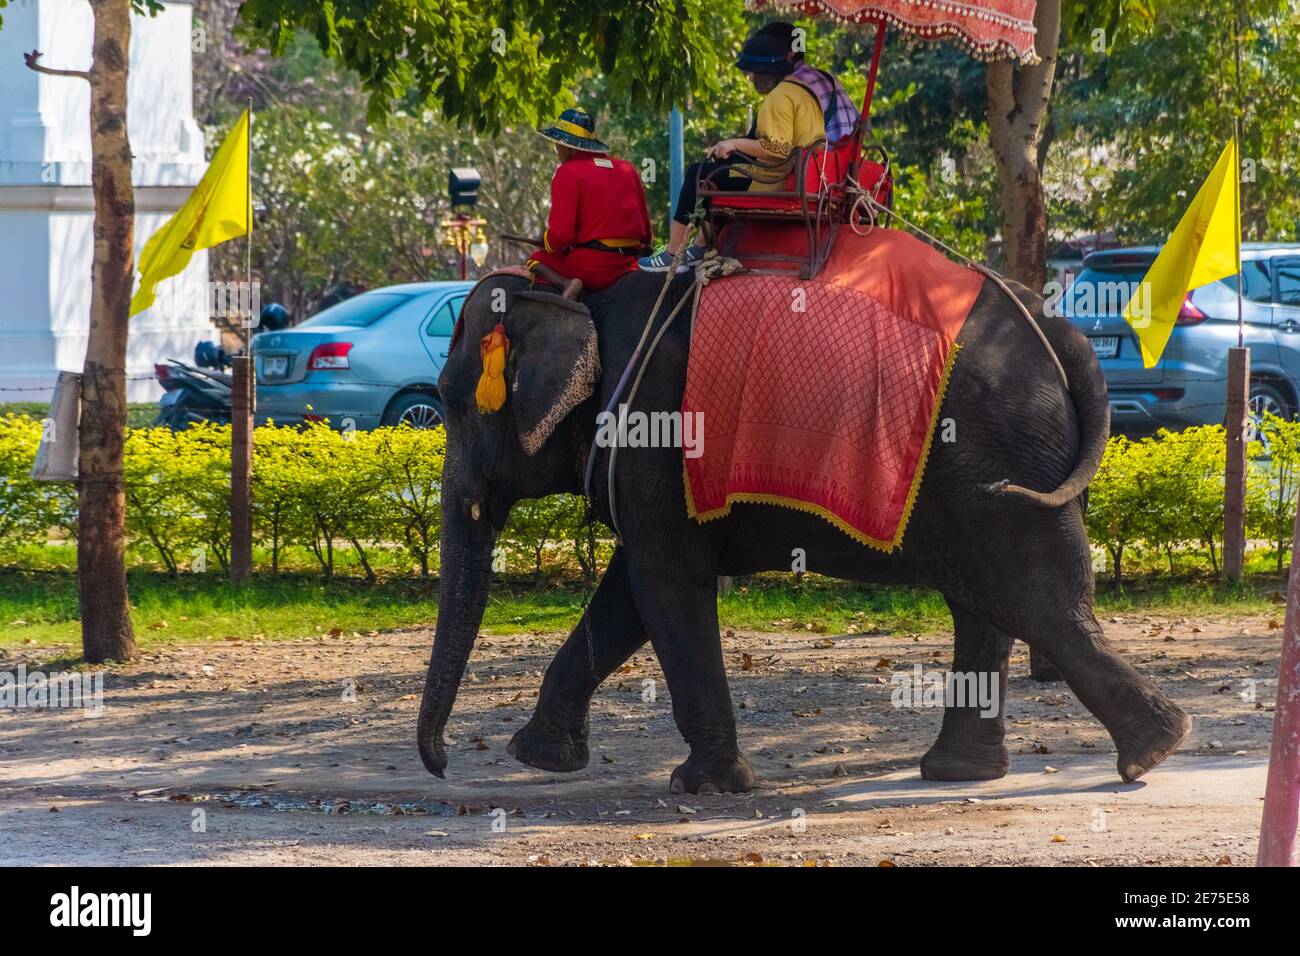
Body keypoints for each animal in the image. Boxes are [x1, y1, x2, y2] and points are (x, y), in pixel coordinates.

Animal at [417, 267, 1192, 794]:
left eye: (453, 404)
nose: (445, 764)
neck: (581, 297)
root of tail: (1058, 330)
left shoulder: (654, 434)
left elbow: (662, 582)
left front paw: (705, 785)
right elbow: (628, 596)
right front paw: (537, 757)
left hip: (1003, 457)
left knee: (1039, 600)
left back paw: (1151, 750)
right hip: (994, 471)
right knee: (989, 602)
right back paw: (965, 771)